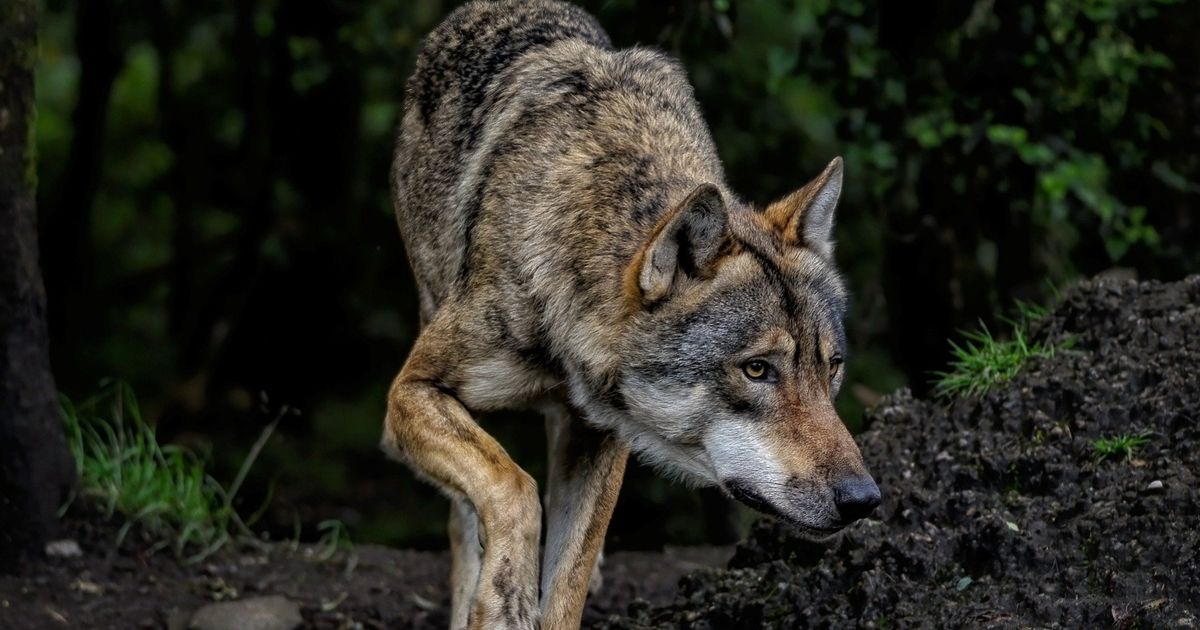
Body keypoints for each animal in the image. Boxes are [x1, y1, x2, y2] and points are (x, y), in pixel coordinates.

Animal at [382, 1, 881, 628]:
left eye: (831, 367)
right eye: (757, 370)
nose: (864, 499)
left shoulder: (602, 434)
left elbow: (566, 580)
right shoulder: (410, 392)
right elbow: (511, 485)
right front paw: (505, 593)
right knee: (466, 514)